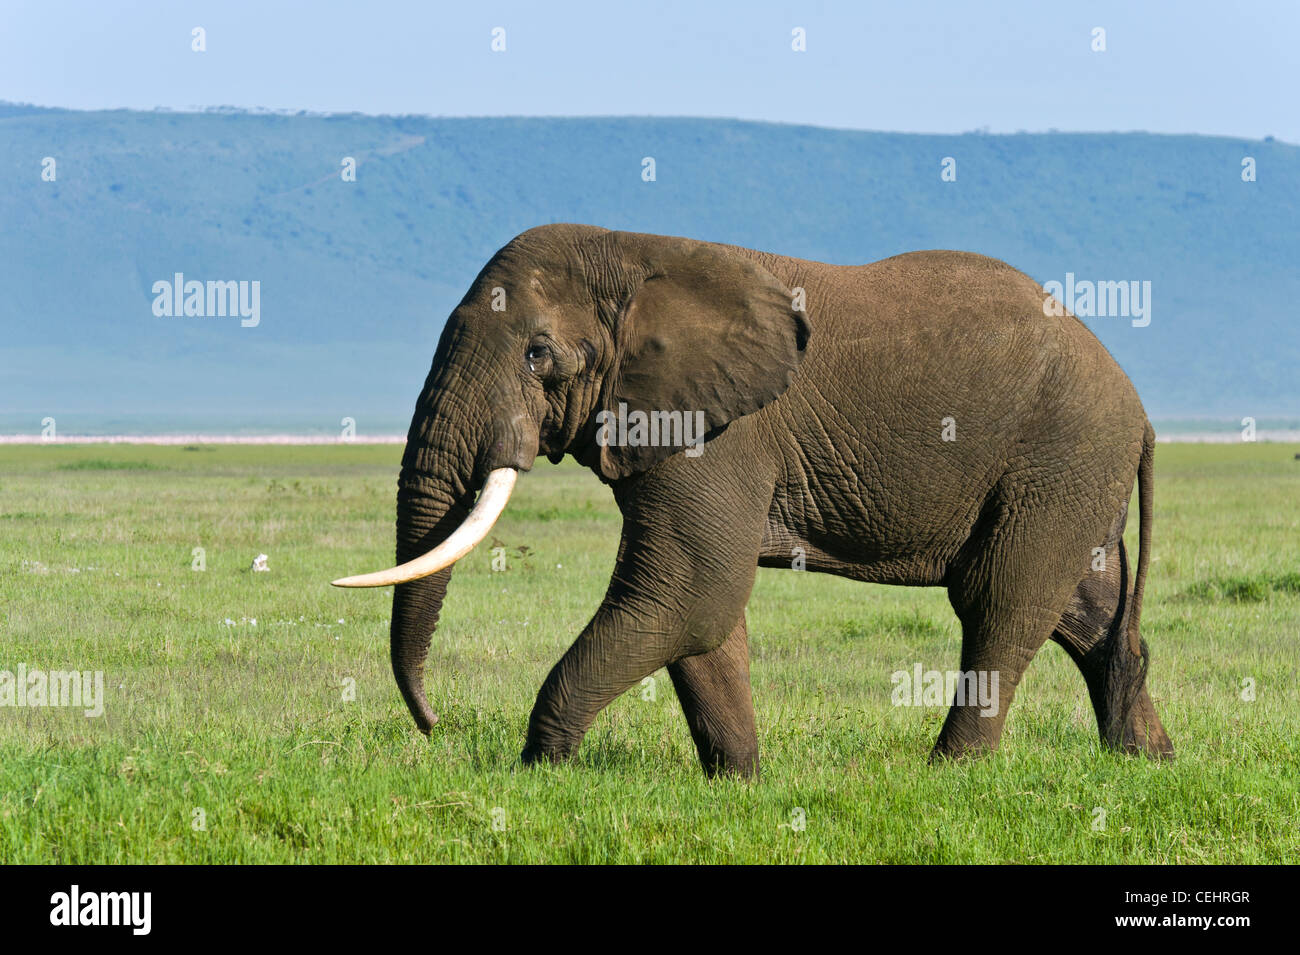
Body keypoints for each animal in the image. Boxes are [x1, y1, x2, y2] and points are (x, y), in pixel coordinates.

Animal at [333, 223, 1174, 778]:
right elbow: (702, 614)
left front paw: (541, 772)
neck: (632, 251)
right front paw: (740, 781)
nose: (432, 725)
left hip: (1058, 453)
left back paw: (949, 772)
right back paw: (1145, 762)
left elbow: (688, 591)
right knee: (1087, 613)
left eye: (539, 355)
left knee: (1000, 601)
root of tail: (1138, 405)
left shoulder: (724, 431)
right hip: (1069, 470)